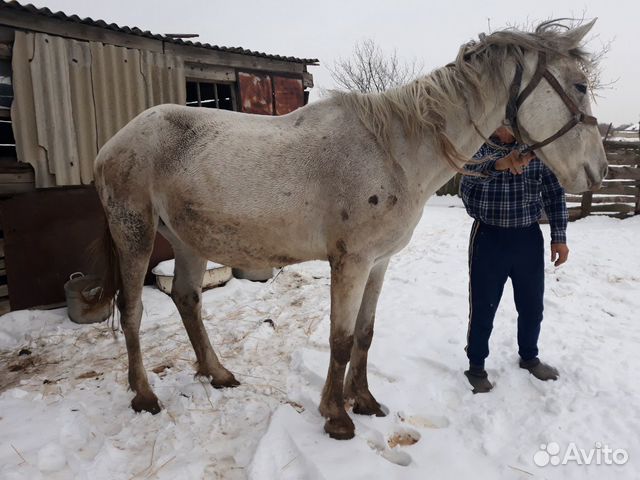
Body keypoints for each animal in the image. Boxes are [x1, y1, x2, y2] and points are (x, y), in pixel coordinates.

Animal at [93, 20, 607, 440]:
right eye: (579, 85)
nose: (598, 171)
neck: (392, 152)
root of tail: (113, 143)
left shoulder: (378, 264)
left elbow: (365, 334)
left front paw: (364, 401)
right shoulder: (351, 264)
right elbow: (340, 340)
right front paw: (336, 417)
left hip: (189, 239)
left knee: (187, 299)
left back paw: (216, 373)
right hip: (135, 235)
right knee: (134, 311)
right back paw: (144, 395)